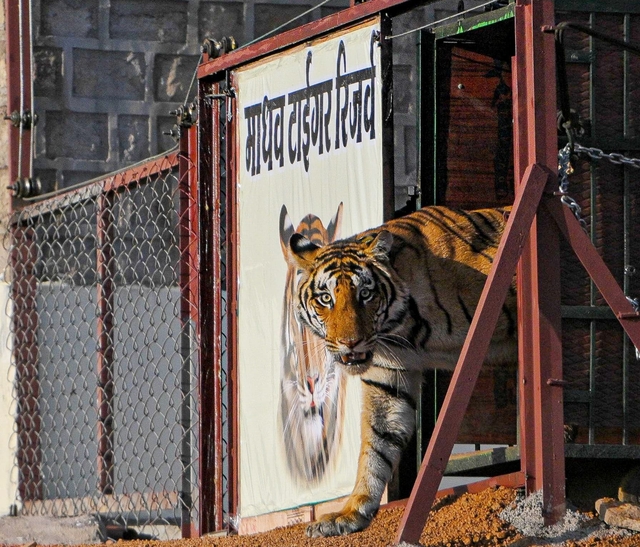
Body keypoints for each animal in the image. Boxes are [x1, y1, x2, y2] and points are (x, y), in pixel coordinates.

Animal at [284, 205, 517, 537]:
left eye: (365, 294)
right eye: (326, 298)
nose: (349, 342)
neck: (405, 328)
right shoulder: (388, 378)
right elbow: (376, 445)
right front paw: (351, 512)